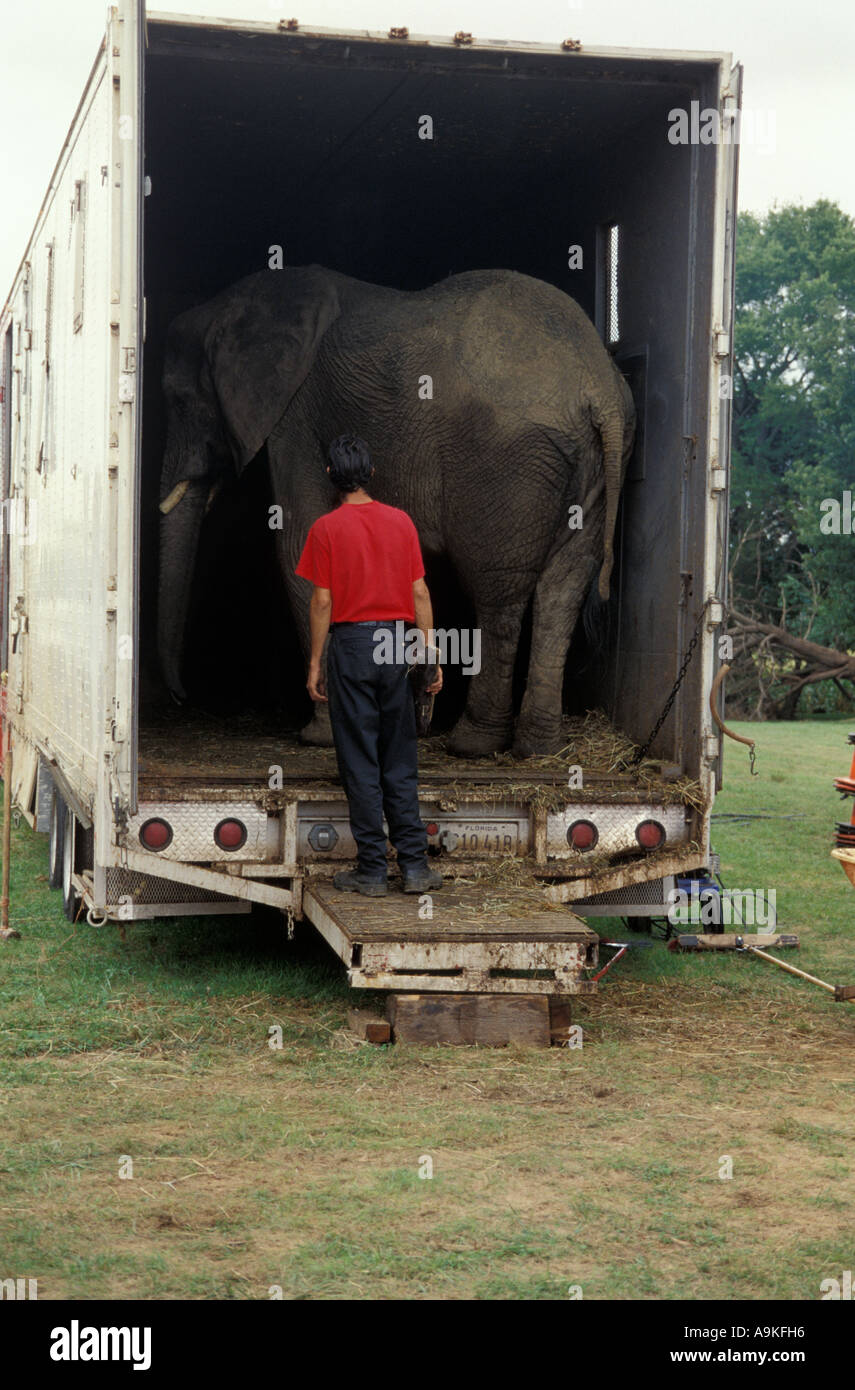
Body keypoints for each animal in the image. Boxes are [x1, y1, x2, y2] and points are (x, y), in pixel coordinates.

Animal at [157, 265, 635, 757]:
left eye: (178, 400)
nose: (181, 696)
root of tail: (599, 386)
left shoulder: (297, 417)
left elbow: (297, 538)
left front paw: (317, 737)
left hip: (505, 459)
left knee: (498, 591)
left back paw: (472, 744)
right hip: (592, 462)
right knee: (565, 586)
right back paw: (539, 749)